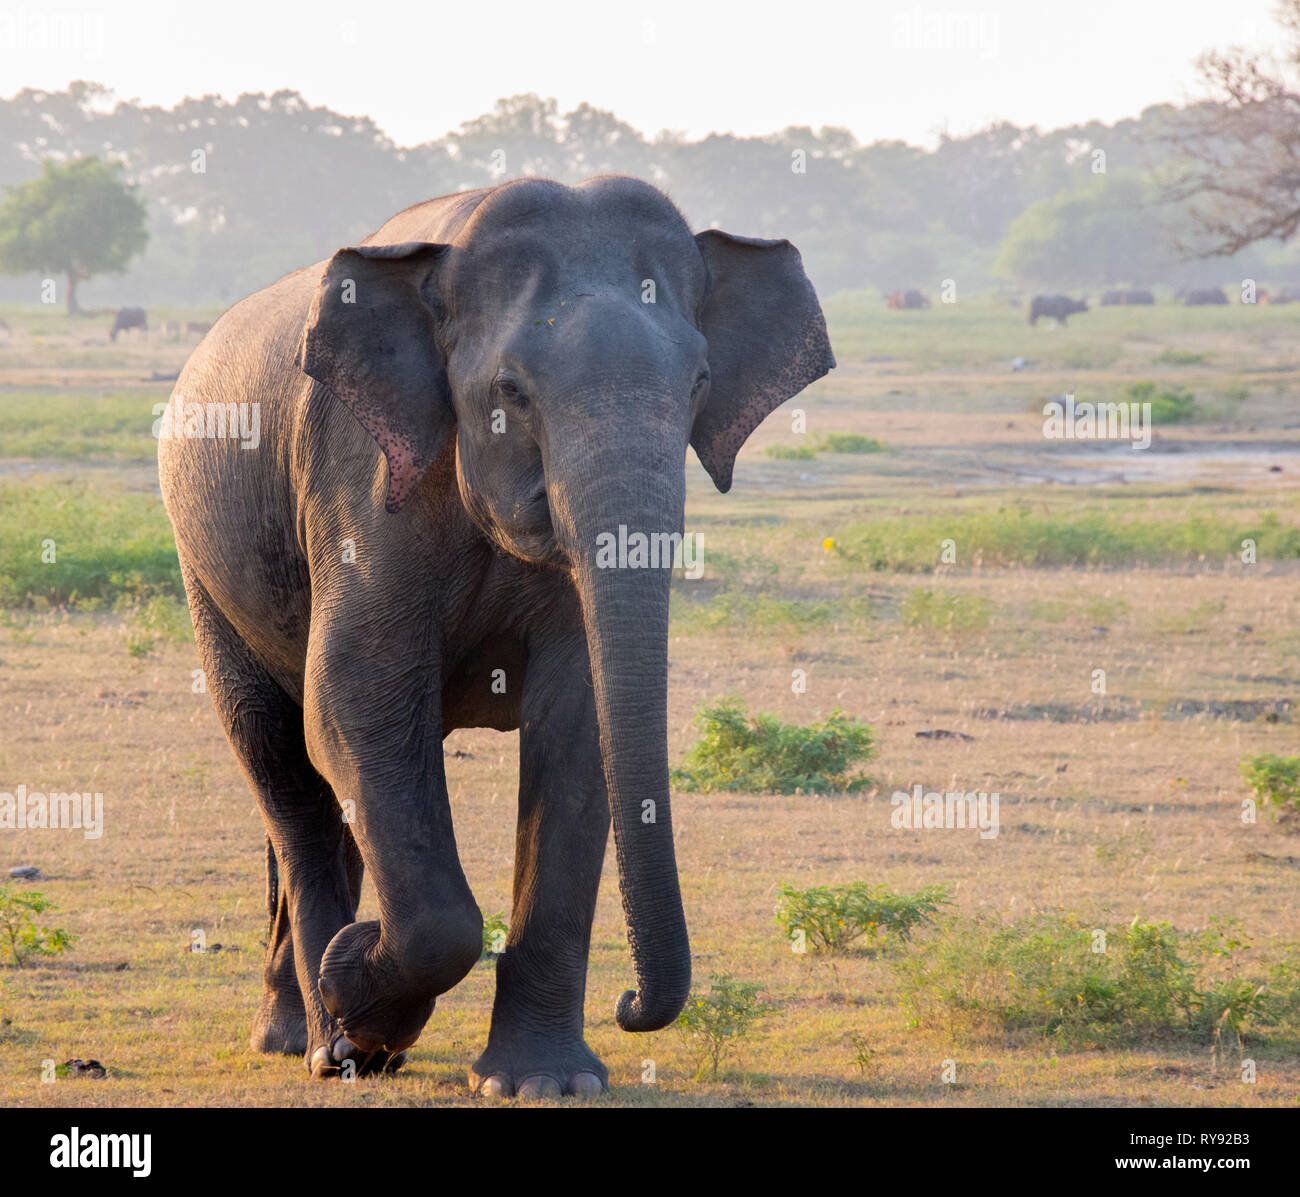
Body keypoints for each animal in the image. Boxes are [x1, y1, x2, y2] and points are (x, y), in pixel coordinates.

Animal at [158, 175, 835, 1096]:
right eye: (511, 391)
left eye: (699, 382)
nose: (630, 1002)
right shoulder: (360, 480)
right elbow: (354, 703)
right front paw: (358, 1001)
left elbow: (578, 730)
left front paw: (543, 1083)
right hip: (205, 570)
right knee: (283, 765)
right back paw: (322, 1038)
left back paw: (308, 1020)